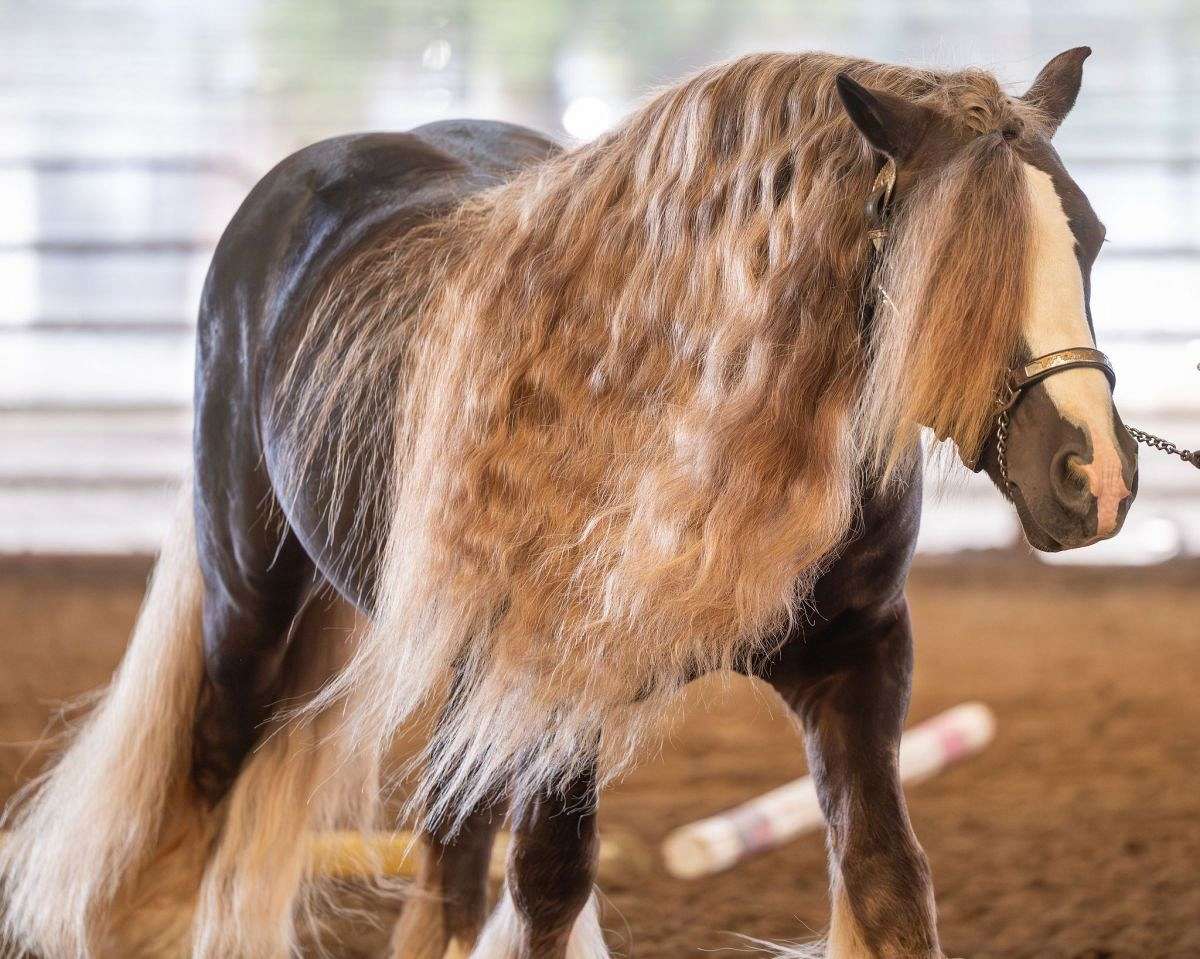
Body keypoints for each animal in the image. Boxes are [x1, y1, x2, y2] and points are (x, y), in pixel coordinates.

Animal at [0, 48, 1138, 959]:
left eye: (1088, 236)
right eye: (957, 271)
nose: (1095, 475)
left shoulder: (857, 658)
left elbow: (888, 881)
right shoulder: (558, 692)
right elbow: (549, 888)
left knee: (449, 857)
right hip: (250, 610)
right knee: (213, 786)